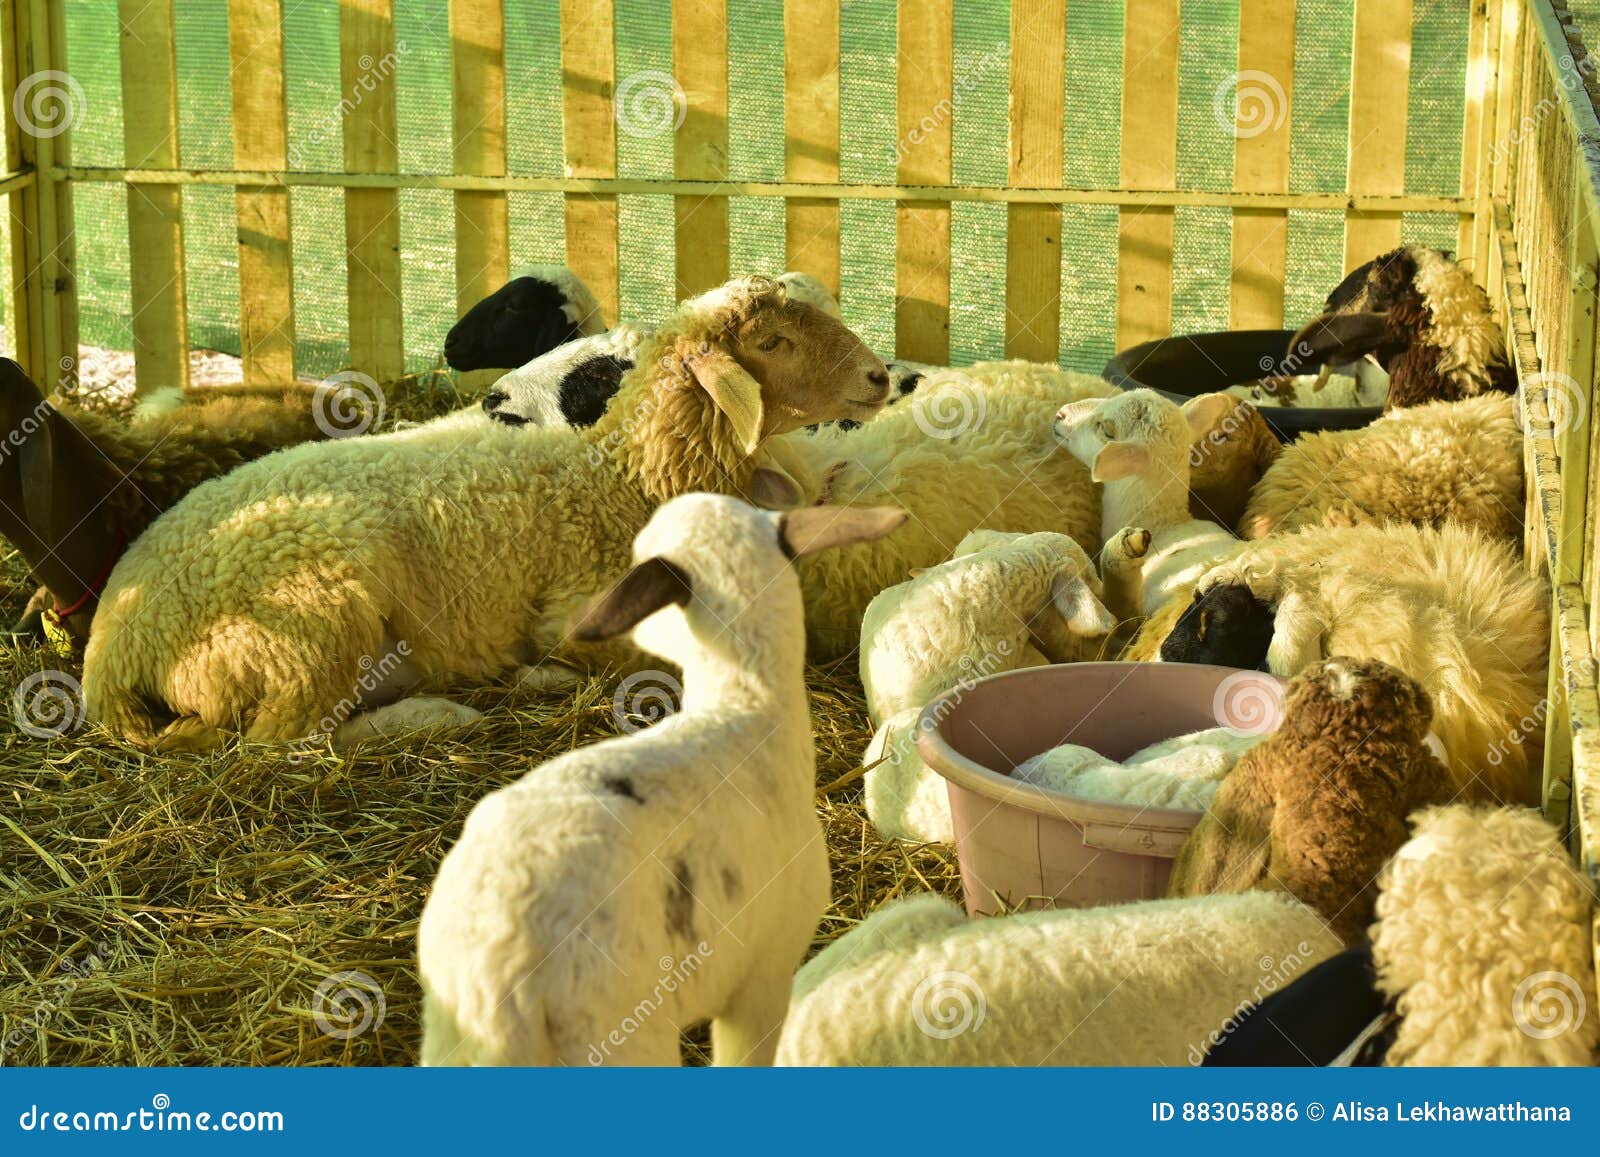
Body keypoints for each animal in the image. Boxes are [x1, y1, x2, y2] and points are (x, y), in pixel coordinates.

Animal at [81, 276, 891, 749]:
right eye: (773, 341)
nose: (881, 377)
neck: (622, 473)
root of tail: (110, 650)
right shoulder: (578, 610)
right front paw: (543, 676)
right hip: (308, 621)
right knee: (283, 740)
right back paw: (439, 714)